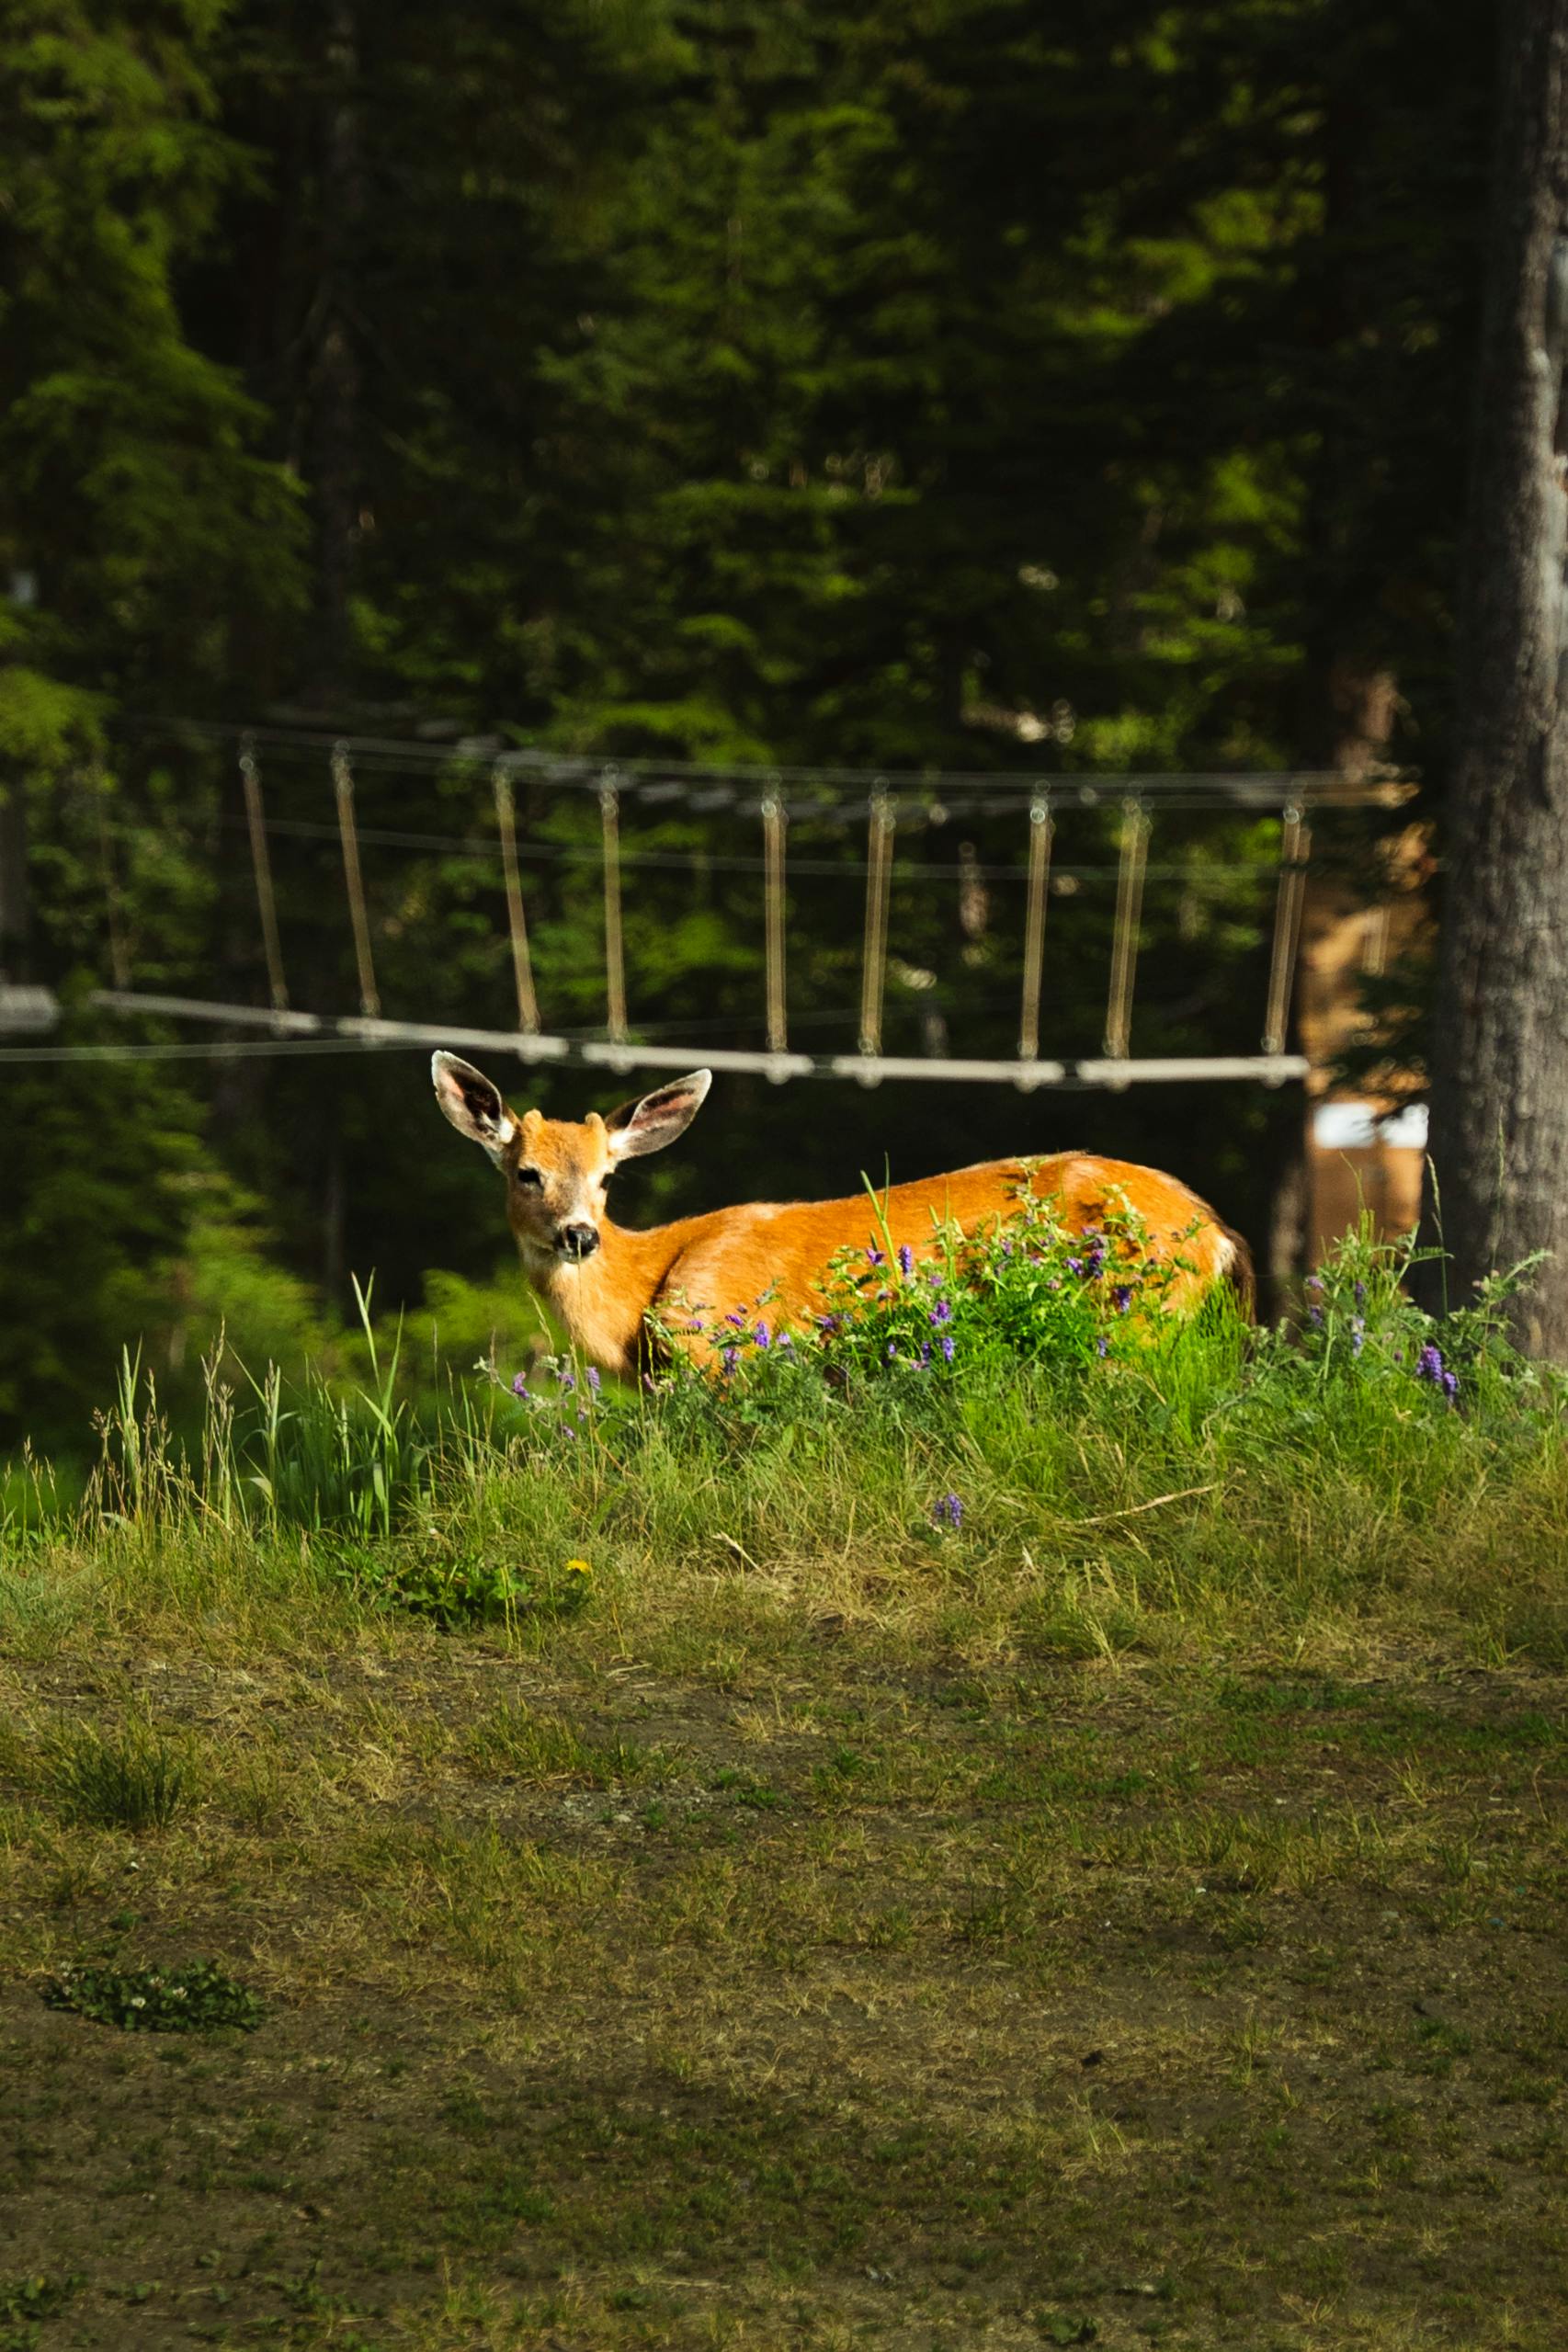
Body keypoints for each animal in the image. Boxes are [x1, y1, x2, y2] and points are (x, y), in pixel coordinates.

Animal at [431, 1051, 1253, 1379]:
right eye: (528, 1172)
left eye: (607, 1177)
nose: (579, 1233)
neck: (644, 1294)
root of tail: (1216, 1232)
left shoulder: (723, 1360)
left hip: (1136, 1316)